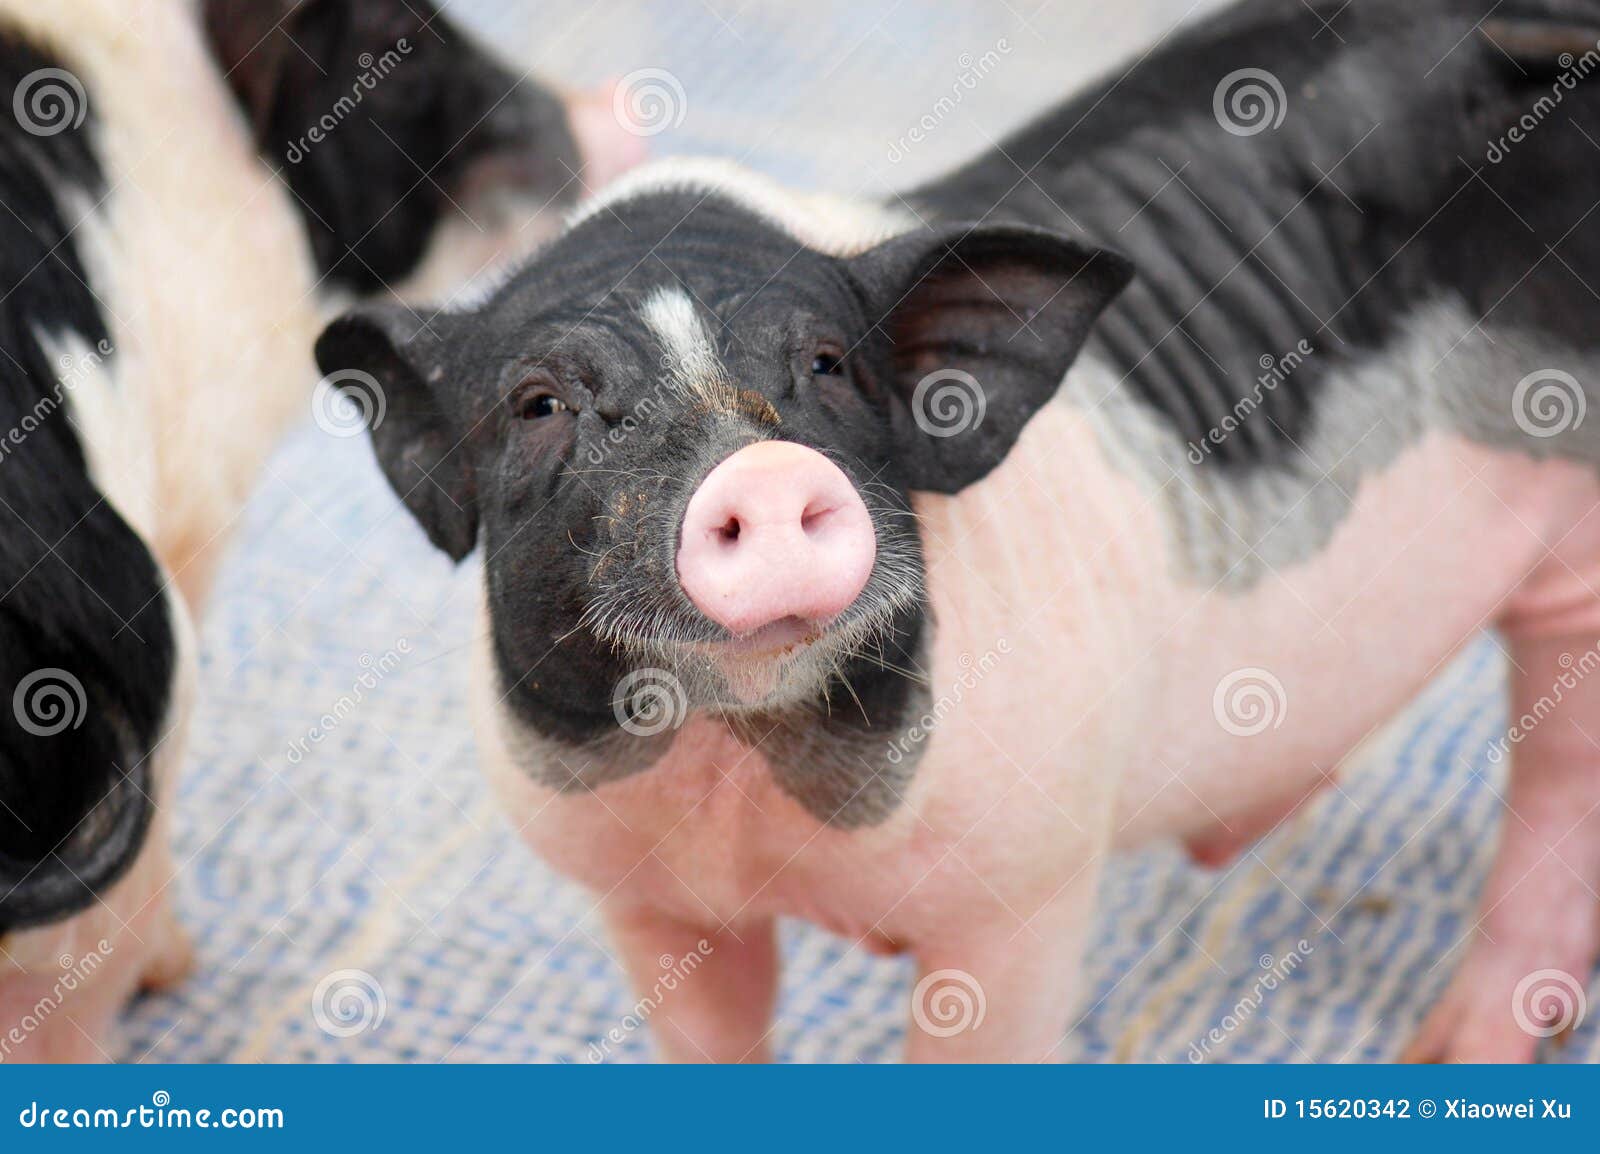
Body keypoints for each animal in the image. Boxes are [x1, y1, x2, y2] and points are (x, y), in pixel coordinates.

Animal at [318, 0, 1600, 1062]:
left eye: (829, 366)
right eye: (538, 404)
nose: (762, 468)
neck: (737, 770)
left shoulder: (1024, 891)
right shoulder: (644, 901)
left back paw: (1452, 1054)